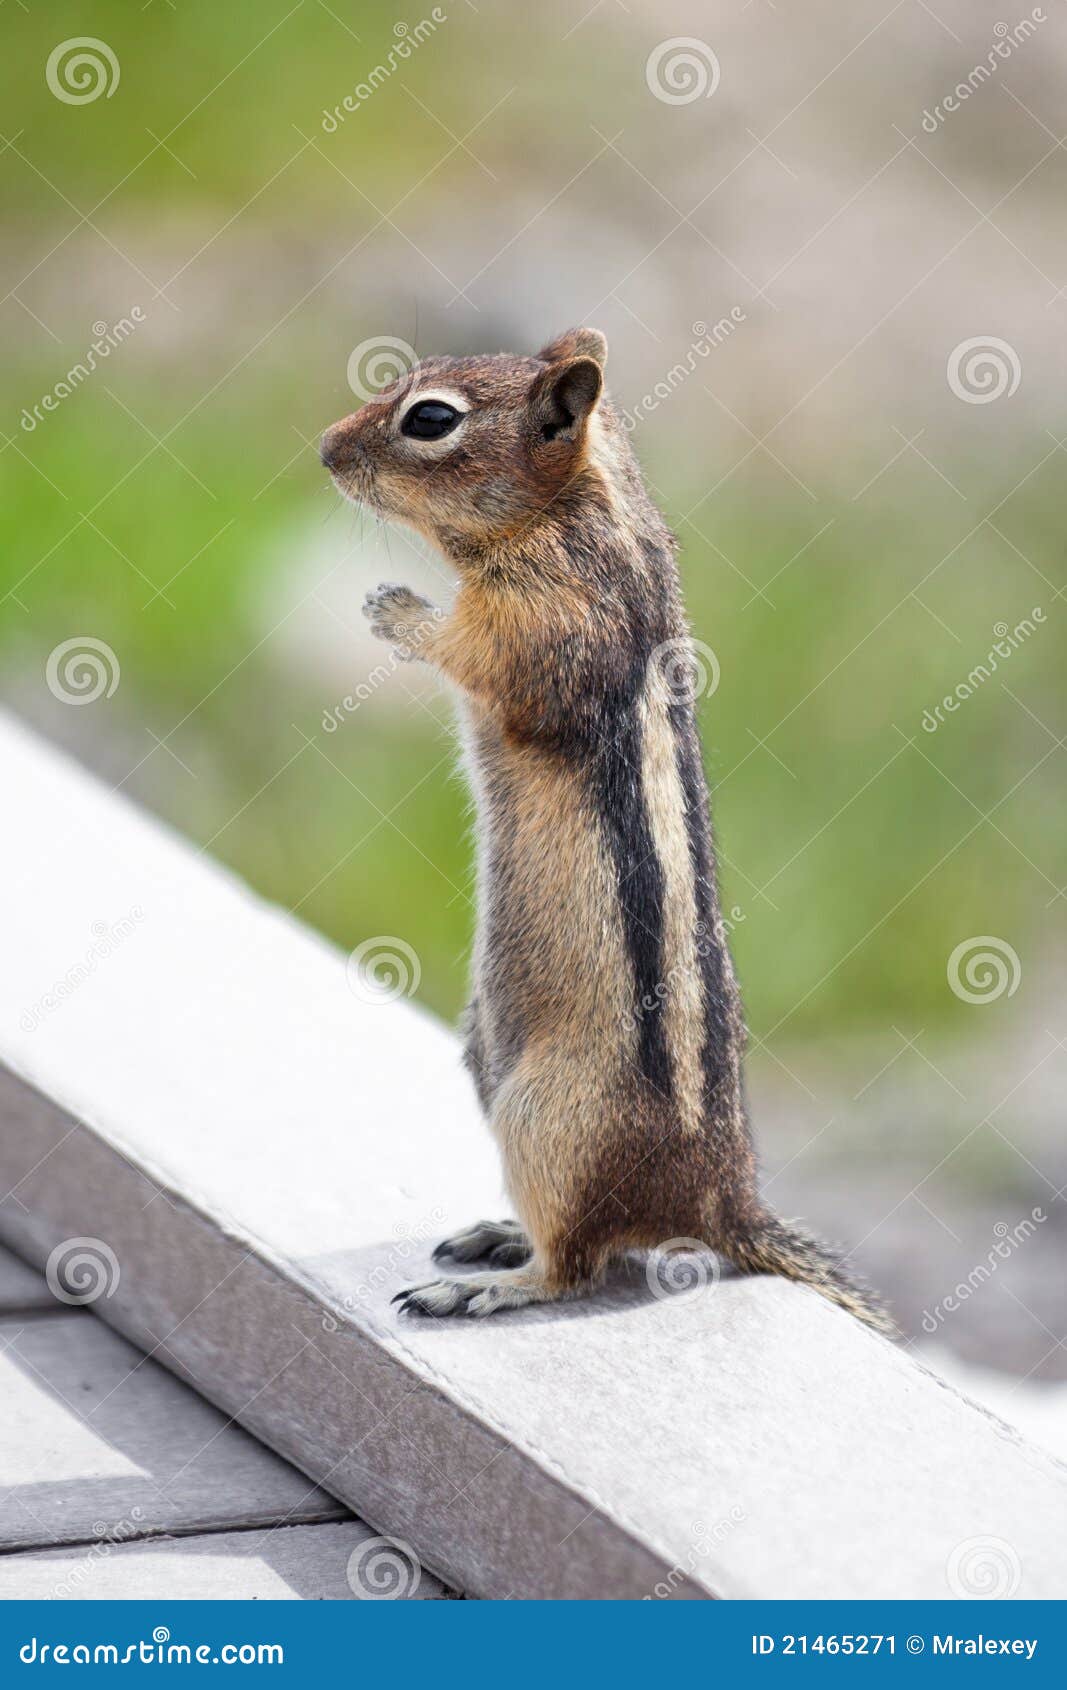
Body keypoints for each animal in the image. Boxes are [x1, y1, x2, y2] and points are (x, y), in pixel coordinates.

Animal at [320, 327, 892, 1335]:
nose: (322, 449)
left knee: (579, 1264)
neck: (575, 511)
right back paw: (497, 1236)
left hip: (550, 1121)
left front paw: (395, 610)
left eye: (428, 419)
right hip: (487, 1057)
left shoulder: (547, 619)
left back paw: (491, 1283)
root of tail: (721, 1200)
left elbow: (472, 652)